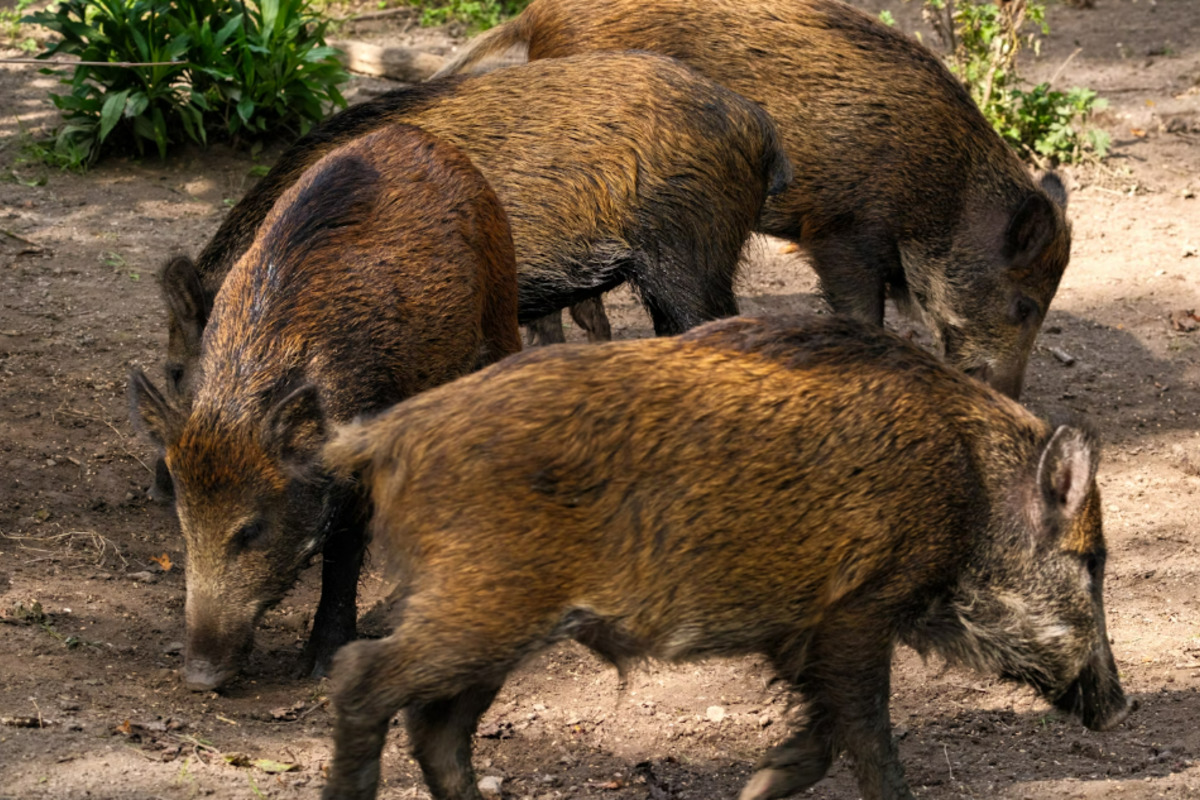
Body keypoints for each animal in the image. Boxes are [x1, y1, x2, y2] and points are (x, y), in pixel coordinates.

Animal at [128, 124, 521, 689]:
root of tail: (423, 138)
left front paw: (321, 667)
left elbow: (344, 548)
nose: (199, 677)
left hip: (501, 307)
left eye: (252, 530)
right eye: (183, 524)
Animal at [319, 314, 1131, 800]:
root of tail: (382, 438)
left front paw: (757, 786)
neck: (969, 494)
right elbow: (868, 733)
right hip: (487, 605)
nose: (1121, 708)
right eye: (1092, 562)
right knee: (363, 677)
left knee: (437, 729)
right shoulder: (859, 610)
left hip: (499, 622)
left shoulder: (801, 633)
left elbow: (824, 737)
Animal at [434, 0, 1074, 398]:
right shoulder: (840, 234)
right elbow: (862, 312)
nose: (1014, 397)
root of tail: (537, 14)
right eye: (1024, 306)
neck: (939, 191)